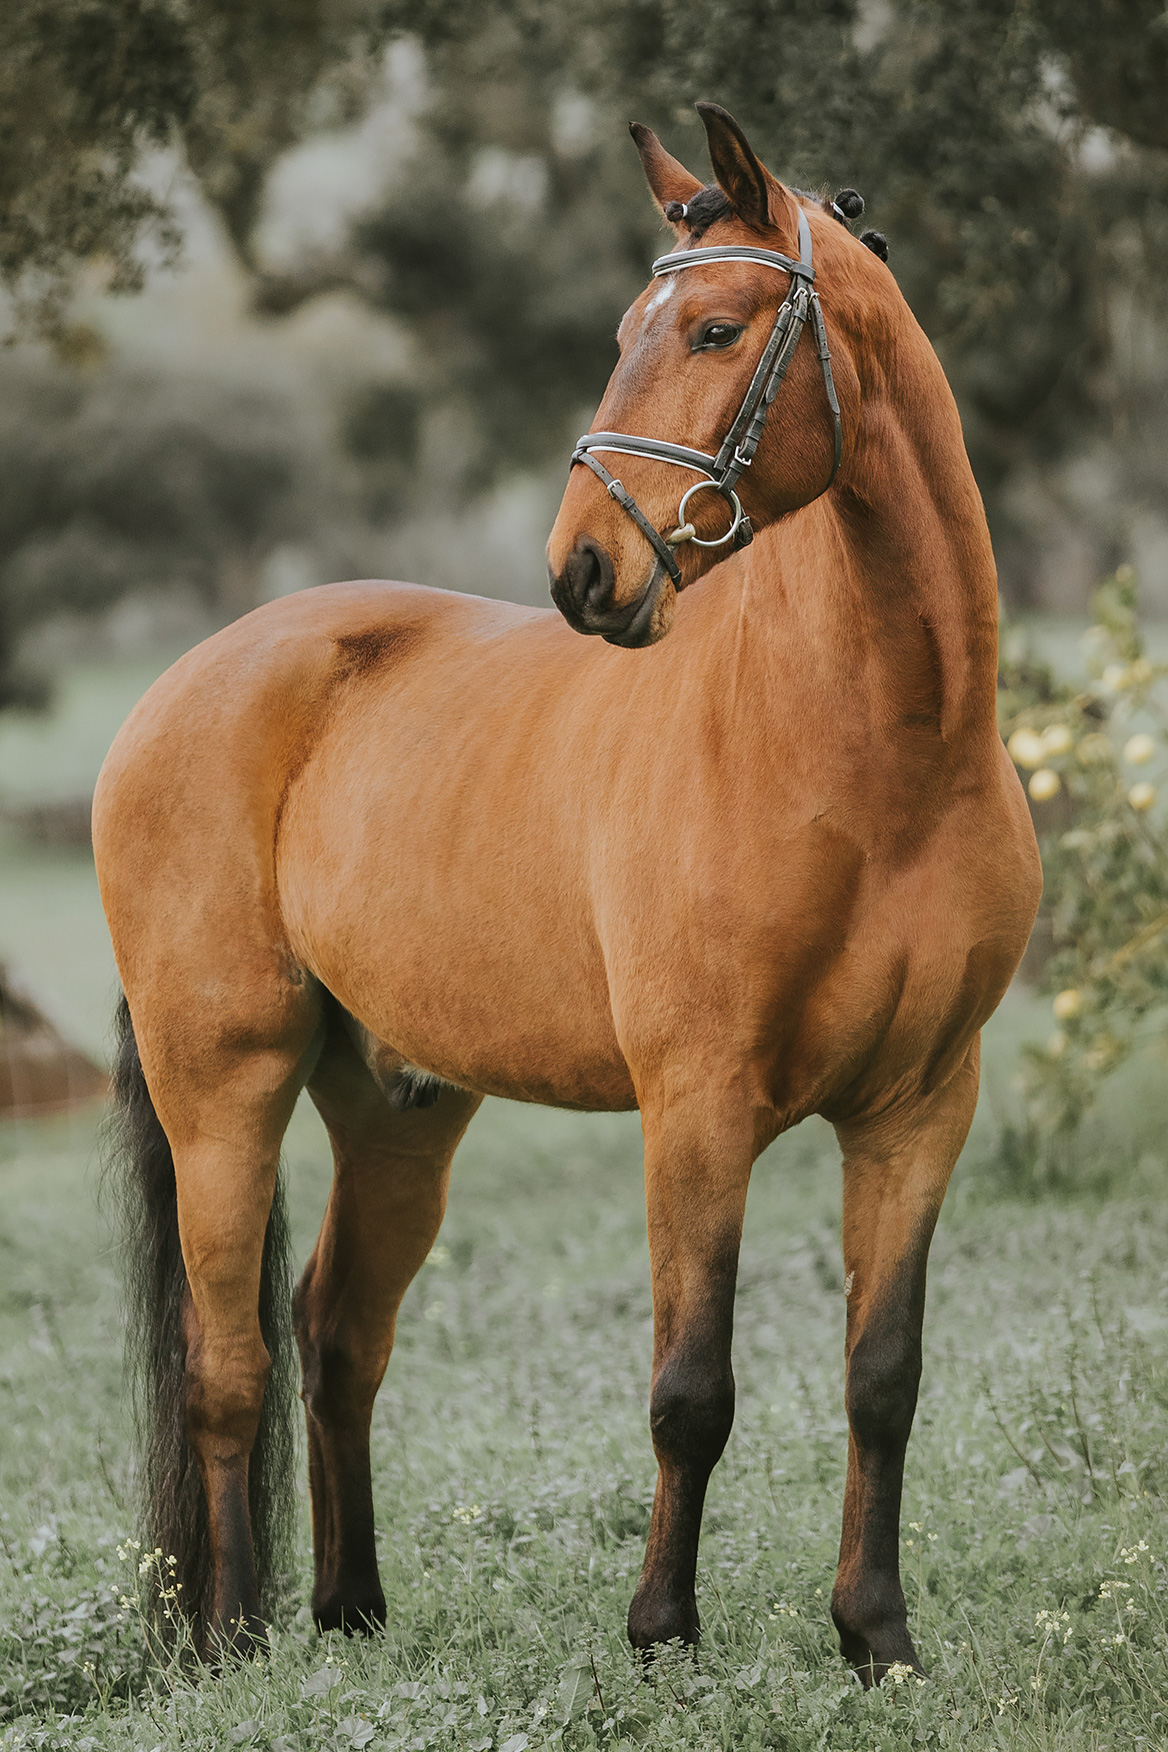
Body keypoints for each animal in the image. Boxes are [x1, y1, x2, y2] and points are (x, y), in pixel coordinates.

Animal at [93, 101, 1040, 1685]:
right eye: (622, 331)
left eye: (715, 328)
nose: (583, 574)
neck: (880, 747)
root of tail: (185, 683)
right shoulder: (698, 1104)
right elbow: (691, 1386)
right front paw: (663, 1633)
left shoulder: (921, 1110)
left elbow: (883, 1378)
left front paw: (876, 1636)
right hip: (222, 1083)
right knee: (229, 1362)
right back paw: (229, 1639)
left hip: (398, 1110)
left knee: (336, 1334)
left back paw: (351, 1610)